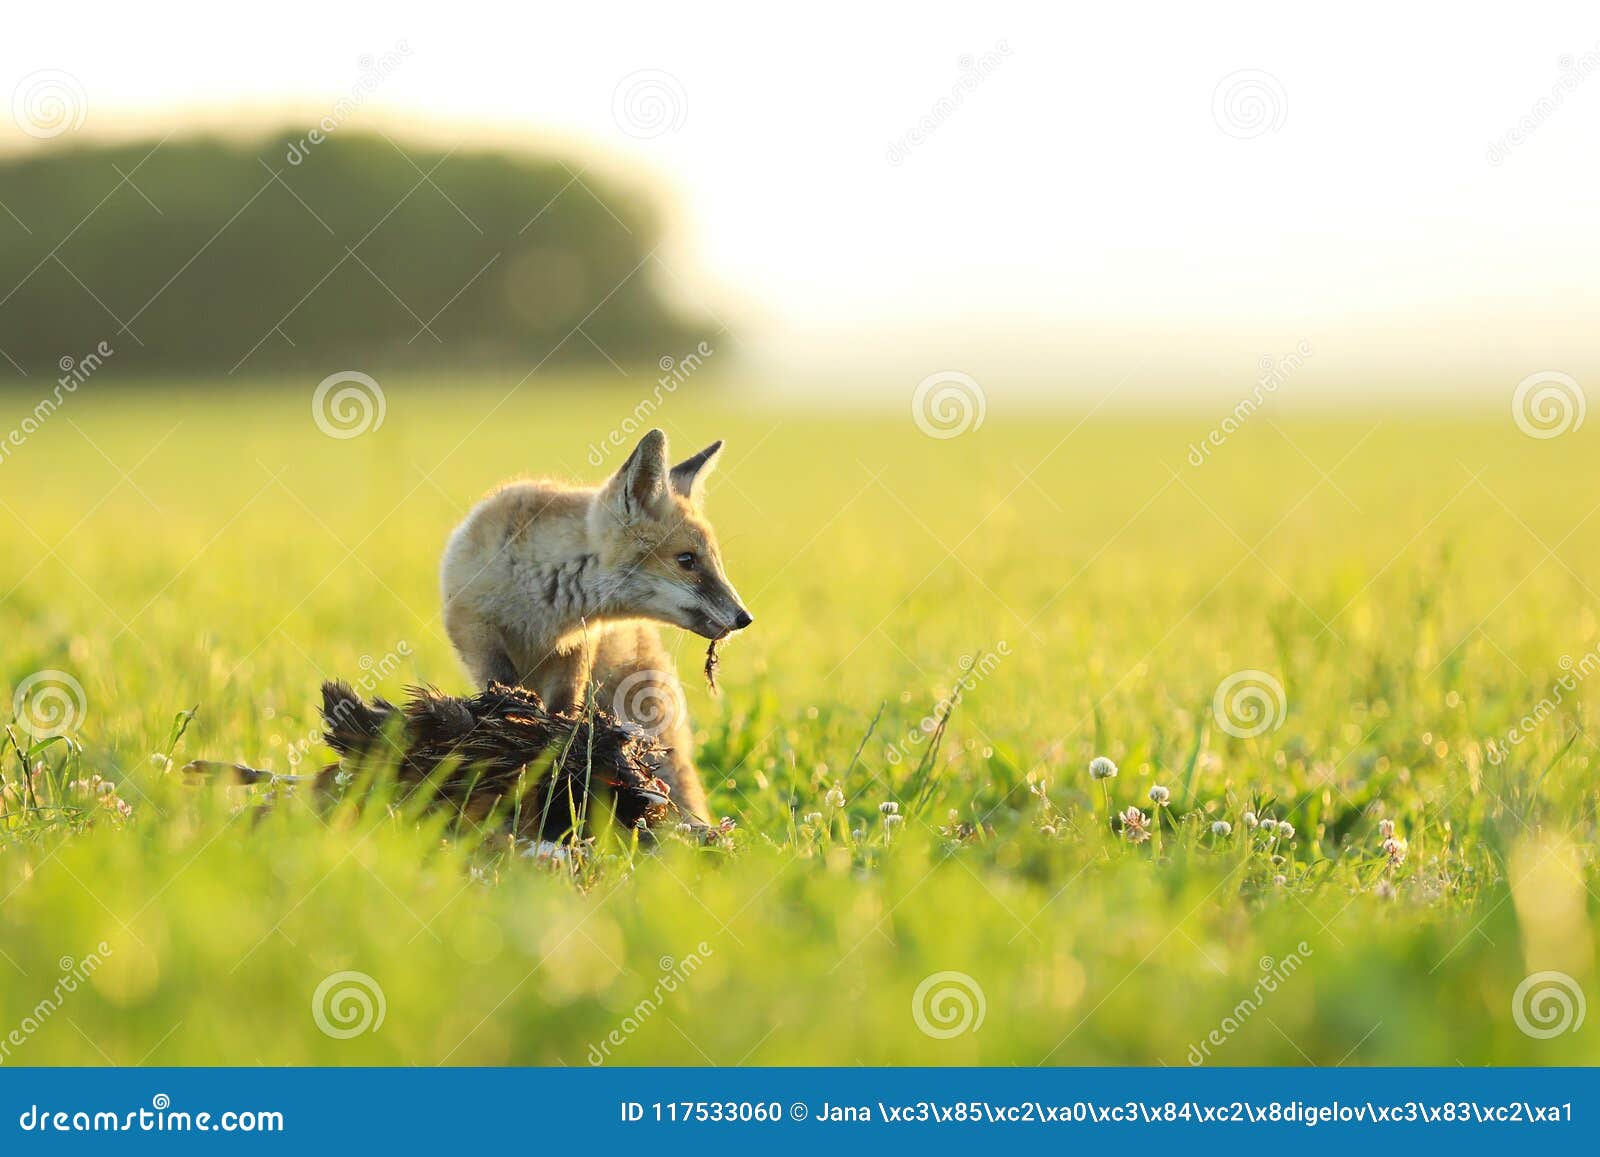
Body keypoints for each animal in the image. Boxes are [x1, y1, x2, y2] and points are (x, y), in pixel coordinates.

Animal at [440, 428, 752, 823]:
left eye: (716, 561)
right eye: (686, 560)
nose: (744, 618)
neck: (545, 604)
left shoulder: (576, 648)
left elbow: (562, 708)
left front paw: (557, 745)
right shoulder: (473, 625)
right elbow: (500, 677)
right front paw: (516, 716)